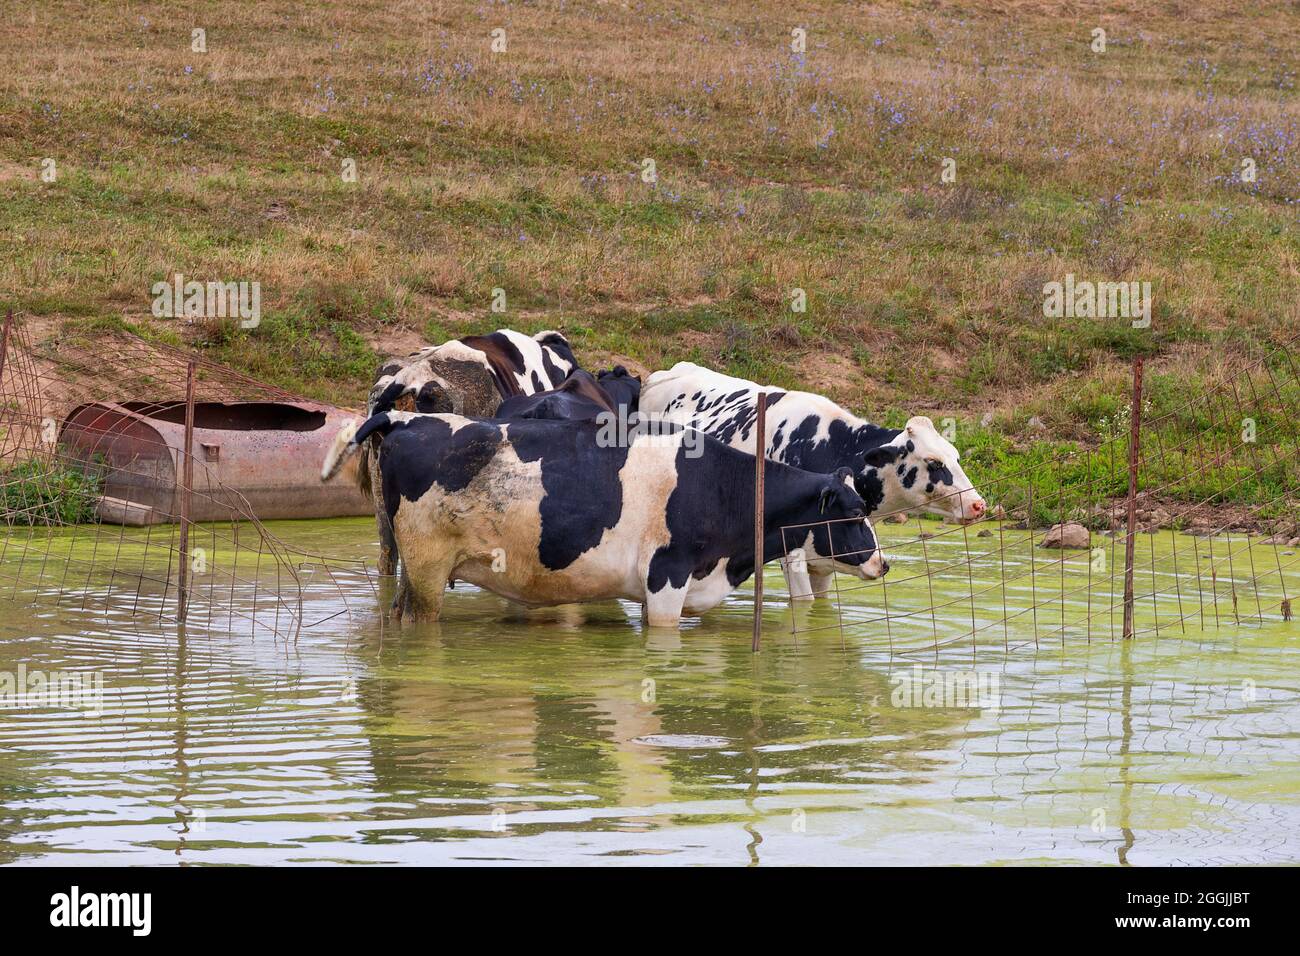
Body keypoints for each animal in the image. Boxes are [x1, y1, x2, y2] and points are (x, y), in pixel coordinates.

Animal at [320, 412, 888, 627]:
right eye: (855, 512)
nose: (883, 564)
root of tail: (406, 417)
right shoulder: (666, 579)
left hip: (407, 565)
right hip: (428, 569)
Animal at [639, 361, 986, 601]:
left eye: (956, 457)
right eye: (934, 462)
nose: (978, 504)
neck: (828, 447)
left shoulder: (828, 558)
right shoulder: (789, 554)